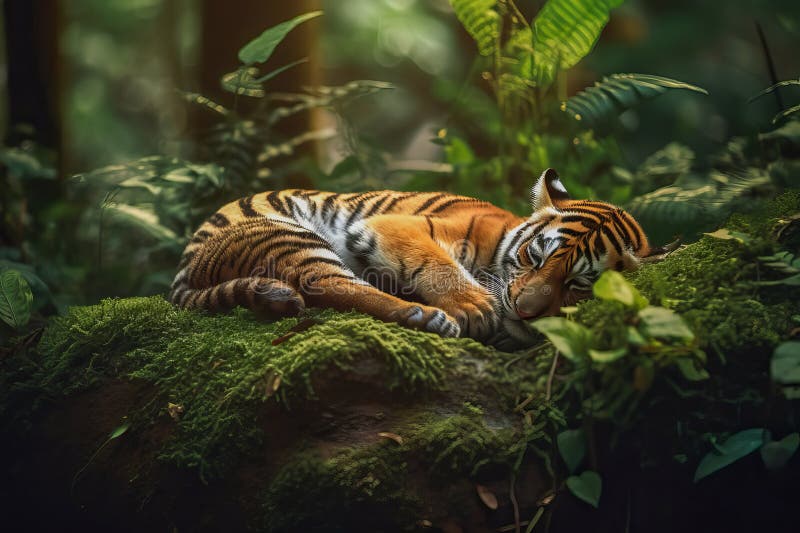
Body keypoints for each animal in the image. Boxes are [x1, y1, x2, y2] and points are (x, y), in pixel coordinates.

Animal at [169, 169, 672, 348]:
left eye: (578, 285)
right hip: (287, 233)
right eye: (534, 256)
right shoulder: (398, 225)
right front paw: (475, 306)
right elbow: (437, 264)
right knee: (326, 284)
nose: (524, 311)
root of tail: (184, 265)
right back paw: (425, 317)